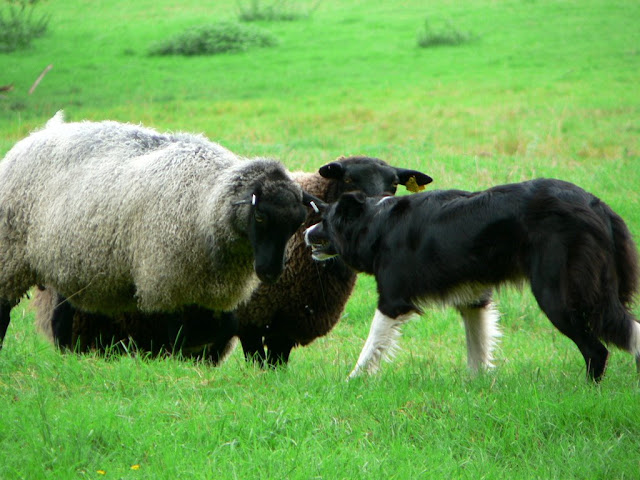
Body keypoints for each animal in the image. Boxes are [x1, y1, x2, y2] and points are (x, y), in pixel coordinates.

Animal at [0, 112, 314, 354]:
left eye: (297, 224)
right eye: (260, 216)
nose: (271, 272)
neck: (207, 202)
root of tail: (36, 135)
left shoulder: (212, 292)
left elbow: (225, 327)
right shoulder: (166, 281)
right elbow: (177, 335)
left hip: (69, 265)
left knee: (61, 318)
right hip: (10, 255)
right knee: (5, 311)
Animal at [31, 156, 432, 365]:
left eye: (393, 184)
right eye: (349, 179)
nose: (380, 209)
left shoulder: (286, 323)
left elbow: (277, 365)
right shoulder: (253, 319)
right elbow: (259, 362)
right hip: (89, 325)